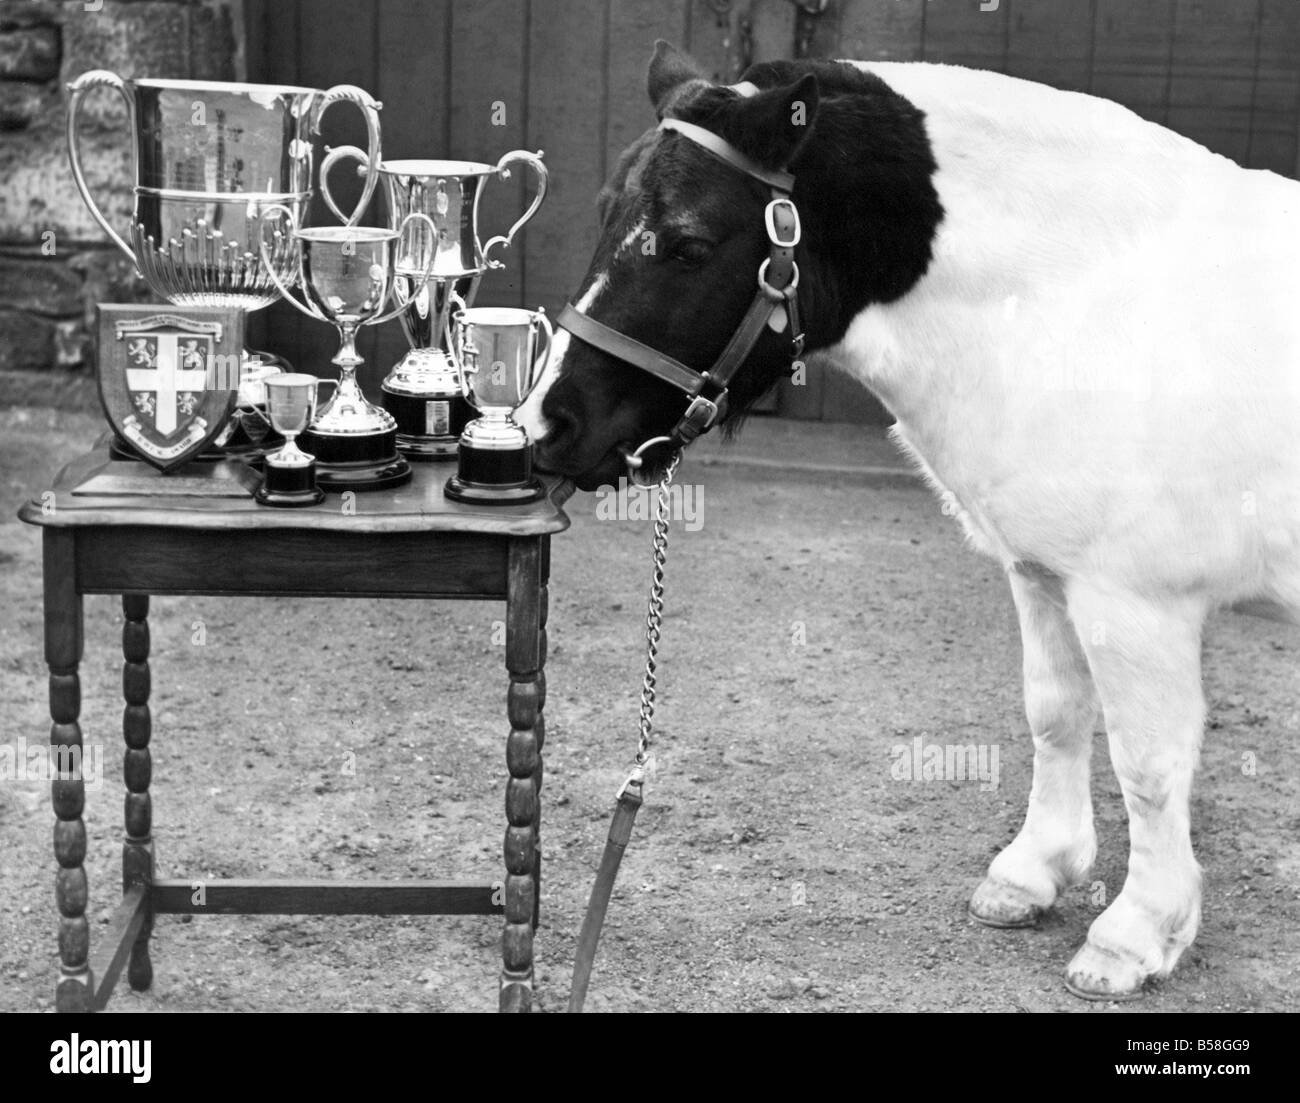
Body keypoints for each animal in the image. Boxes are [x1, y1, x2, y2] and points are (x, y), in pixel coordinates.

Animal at [517, 41, 1300, 1000]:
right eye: (605, 214)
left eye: (691, 242)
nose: (549, 423)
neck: (1100, 301)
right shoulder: (1045, 575)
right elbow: (1055, 712)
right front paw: (1034, 873)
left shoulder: (1137, 603)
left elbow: (1149, 764)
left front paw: (1136, 933)